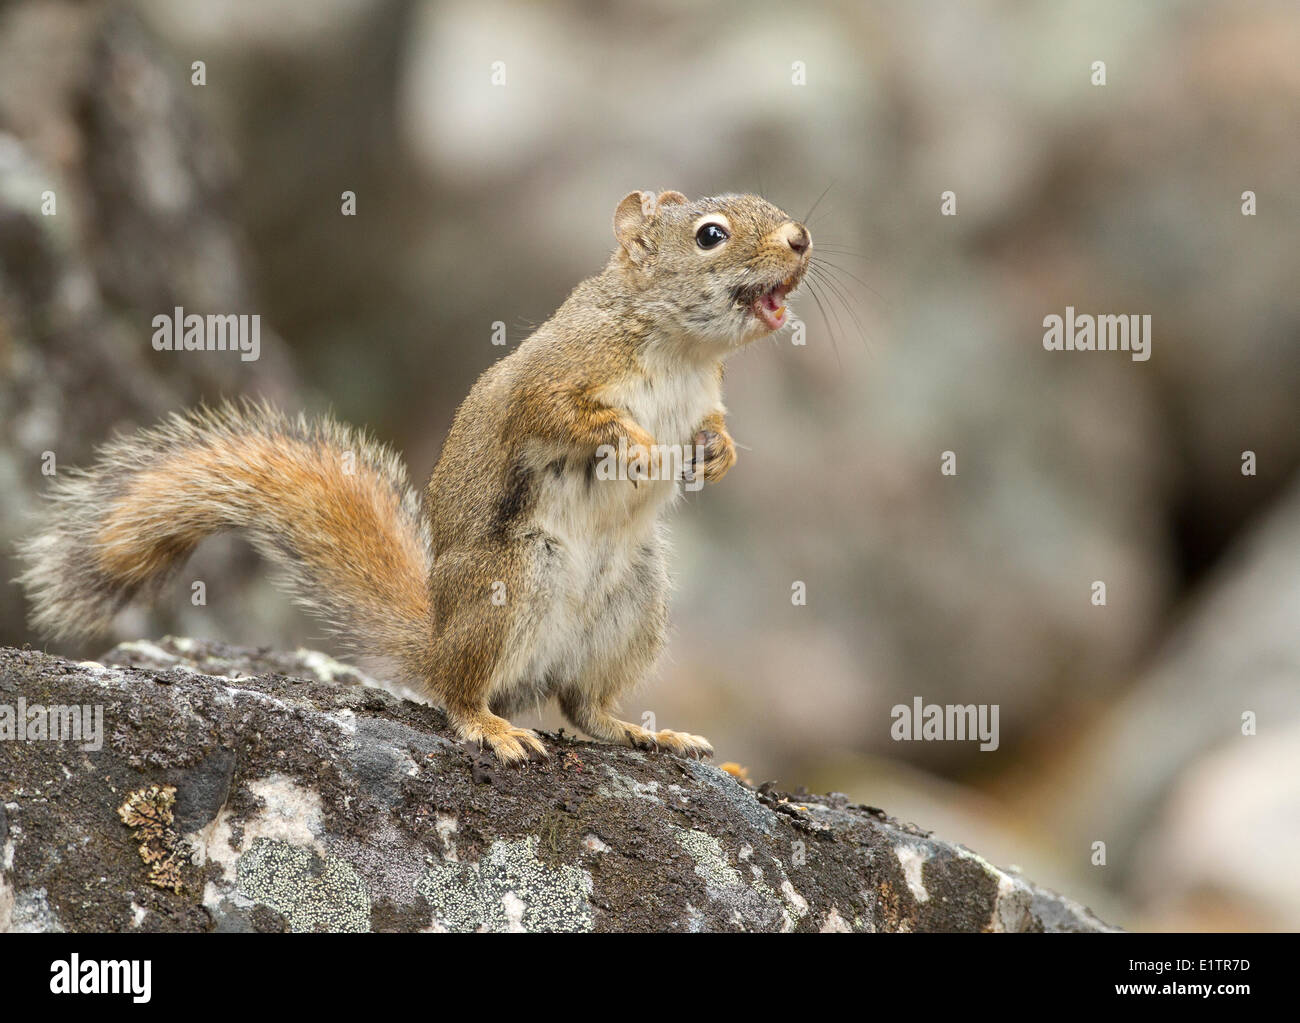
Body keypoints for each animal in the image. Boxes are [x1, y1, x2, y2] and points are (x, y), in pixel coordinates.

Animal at [17, 190, 812, 764]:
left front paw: (718, 454)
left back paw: (647, 732)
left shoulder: (705, 397)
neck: (679, 348)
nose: (802, 239)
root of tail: (436, 638)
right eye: (711, 234)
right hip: (510, 582)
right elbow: (559, 415)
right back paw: (491, 726)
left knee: (583, 705)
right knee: (461, 694)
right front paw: (638, 445)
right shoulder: (557, 377)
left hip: (635, 604)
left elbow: (715, 429)